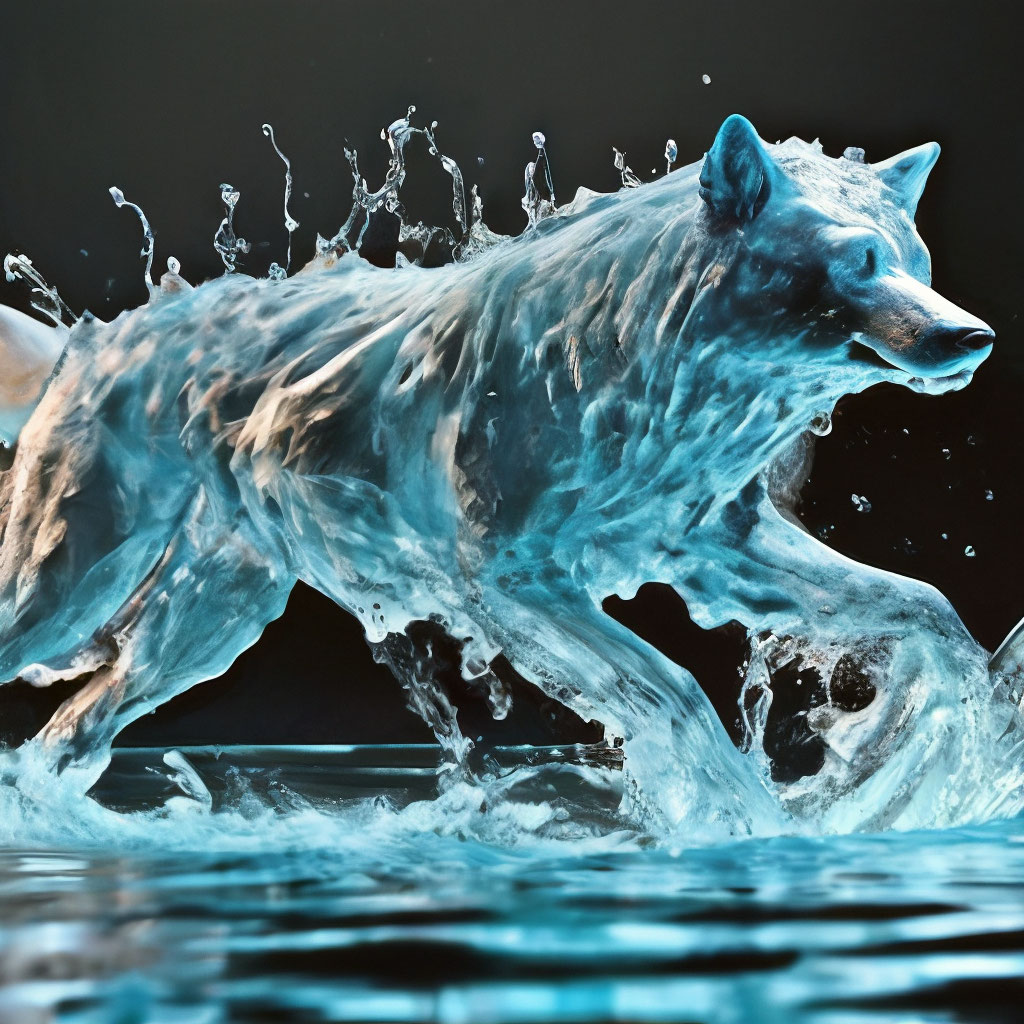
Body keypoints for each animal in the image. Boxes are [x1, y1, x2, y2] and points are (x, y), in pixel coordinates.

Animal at [0, 115, 1012, 836]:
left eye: (915, 262)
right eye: (859, 261)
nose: (972, 337)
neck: (639, 357)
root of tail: (93, 338)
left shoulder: (722, 550)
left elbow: (928, 606)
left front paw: (944, 740)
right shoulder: (513, 584)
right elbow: (677, 694)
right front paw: (745, 828)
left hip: (211, 625)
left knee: (69, 732)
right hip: (70, 586)